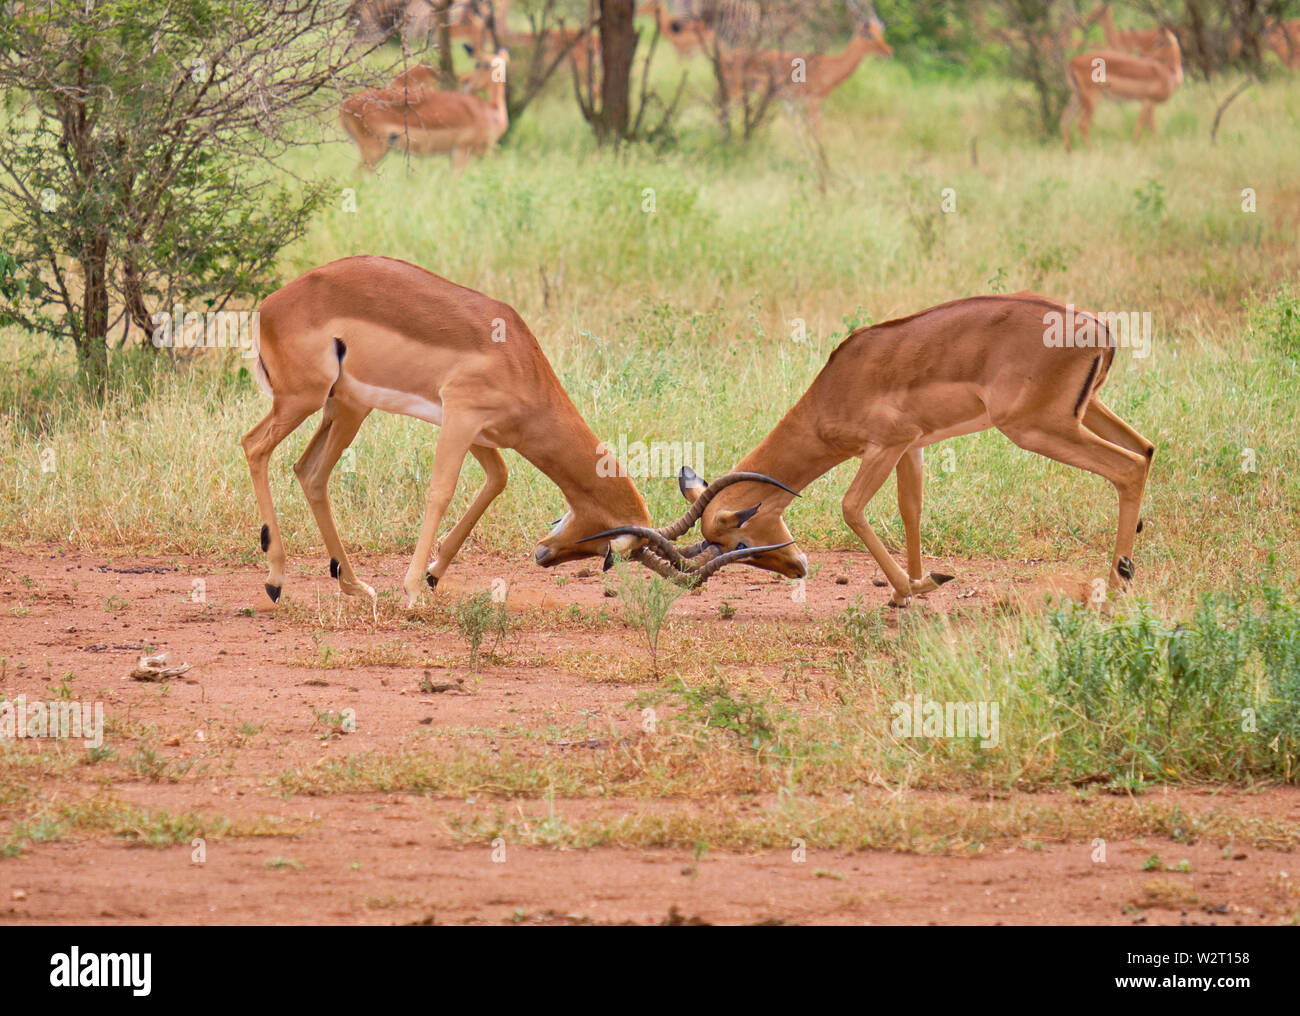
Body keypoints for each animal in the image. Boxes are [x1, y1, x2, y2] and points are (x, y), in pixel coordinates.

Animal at [241, 257, 797, 608]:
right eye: (608, 555)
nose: (544, 556)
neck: (517, 359)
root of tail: (272, 305)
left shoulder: (487, 437)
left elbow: (497, 481)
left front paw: (434, 574)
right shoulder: (460, 416)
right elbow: (440, 491)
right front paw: (413, 592)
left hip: (347, 408)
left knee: (310, 472)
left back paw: (355, 587)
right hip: (304, 399)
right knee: (254, 446)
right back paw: (274, 581)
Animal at [340, 46, 510, 171]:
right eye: (478, 63)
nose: (467, 83)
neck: (490, 111)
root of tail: (345, 104)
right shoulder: (461, 152)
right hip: (373, 150)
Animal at [592, 294, 1154, 608]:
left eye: (736, 541)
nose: (797, 567)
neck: (837, 387)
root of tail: (1099, 329)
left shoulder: (884, 446)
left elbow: (851, 508)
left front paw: (913, 589)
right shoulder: (913, 446)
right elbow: (911, 509)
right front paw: (918, 584)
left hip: (1037, 428)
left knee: (1126, 467)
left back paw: (1116, 587)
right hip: (1084, 413)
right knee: (1147, 450)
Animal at [717, 1, 891, 132]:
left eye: (881, 33)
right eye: (870, 35)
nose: (889, 51)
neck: (830, 66)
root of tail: (728, 56)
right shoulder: (812, 101)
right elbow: (817, 131)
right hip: (734, 89)